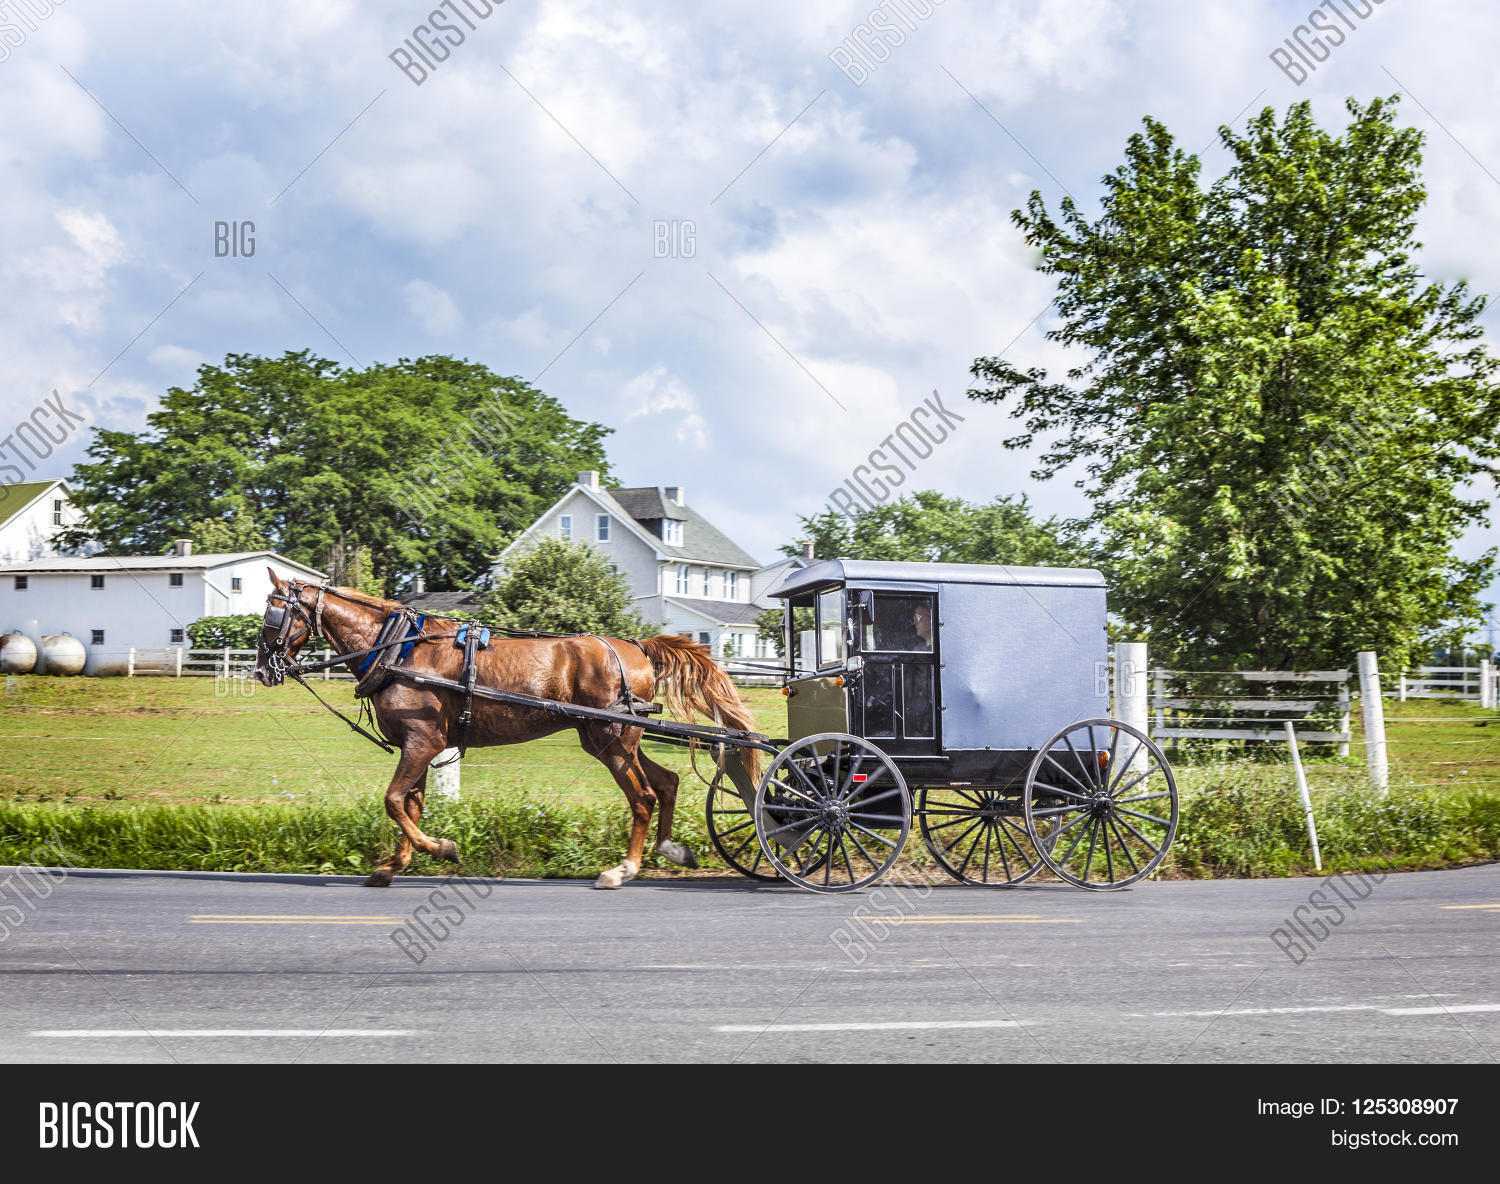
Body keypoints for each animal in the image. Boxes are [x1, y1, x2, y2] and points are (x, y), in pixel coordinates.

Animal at [251, 571, 759, 889]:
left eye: (273, 613)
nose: (260, 670)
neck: (396, 649)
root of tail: (636, 648)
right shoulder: (420, 747)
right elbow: (410, 806)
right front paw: (393, 866)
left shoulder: (423, 742)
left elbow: (394, 802)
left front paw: (443, 849)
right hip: (615, 740)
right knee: (667, 783)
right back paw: (671, 850)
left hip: (611, 741)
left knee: (643, 797)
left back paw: (623, 870)